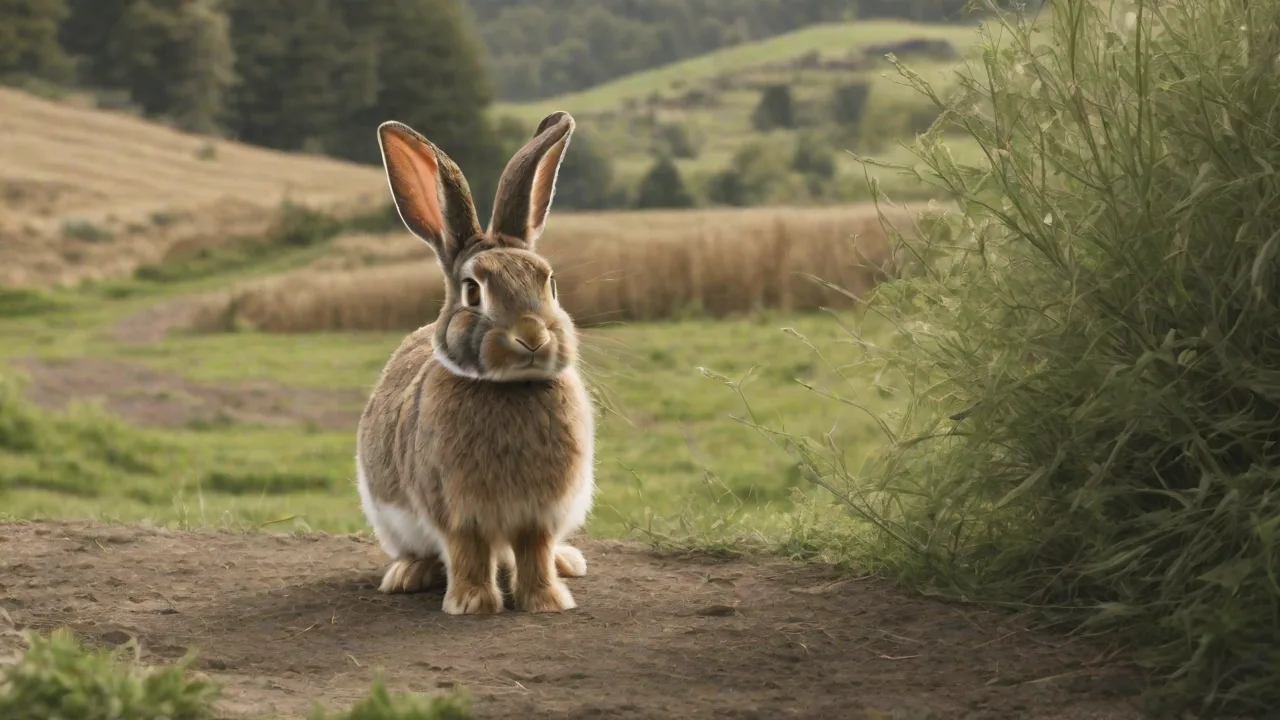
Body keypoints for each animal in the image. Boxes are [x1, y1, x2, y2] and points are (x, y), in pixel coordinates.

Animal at [355, 111, 594, 615]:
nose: (531, 337)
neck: (508, 388)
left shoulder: (539, 514)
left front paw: (547, 600)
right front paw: (471, 604)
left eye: (550, 284)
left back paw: (568, 562)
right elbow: (466, 551)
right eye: (472, 291)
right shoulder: (456, 510)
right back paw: (408, 575)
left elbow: (535, 551)